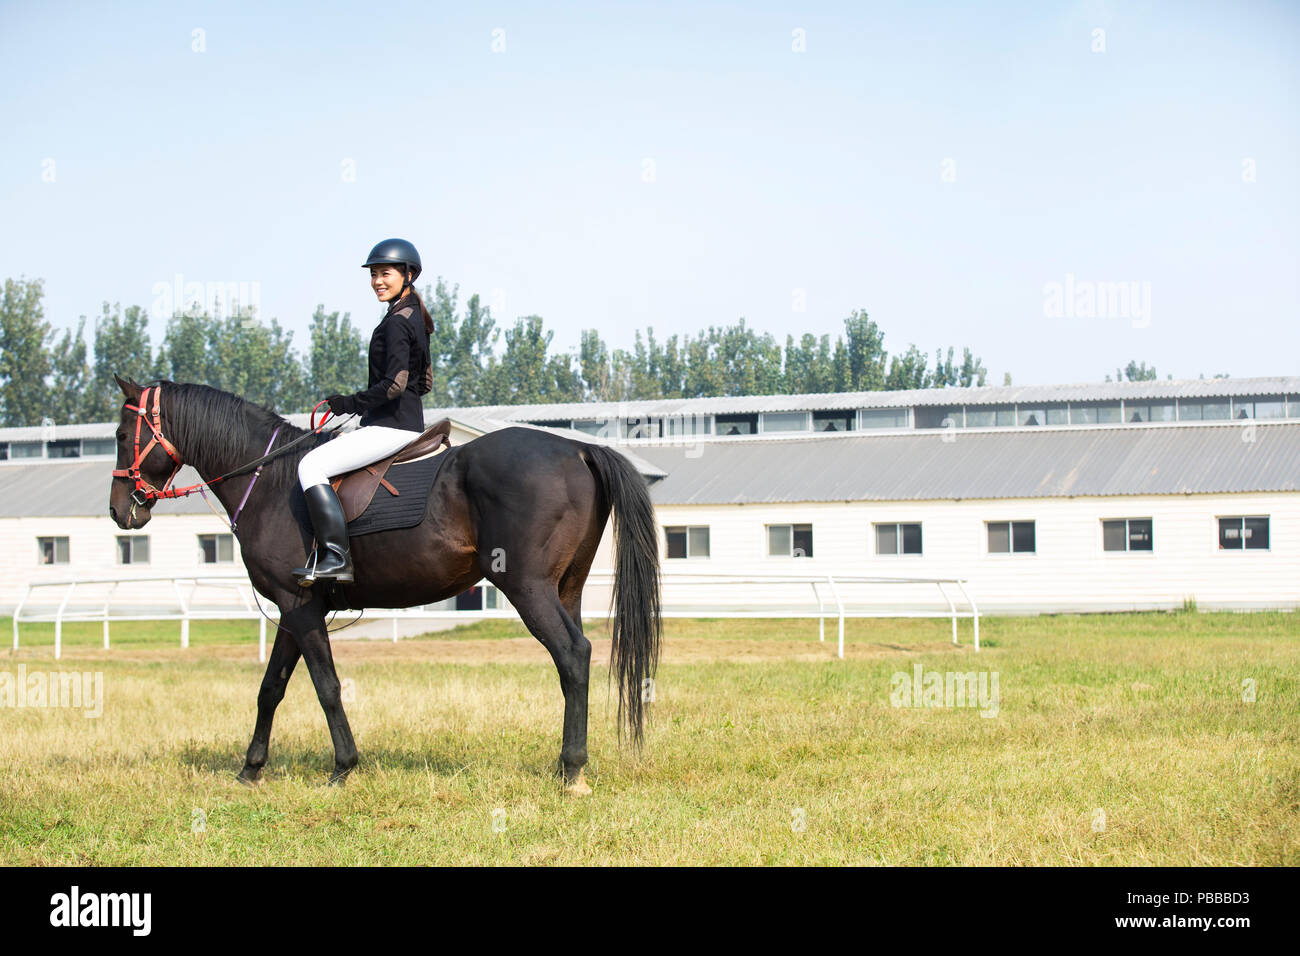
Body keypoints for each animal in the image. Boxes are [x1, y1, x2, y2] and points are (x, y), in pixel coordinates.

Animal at [106, 374, 661, 793]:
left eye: (121, 433)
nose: (120, 511)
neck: (270, 481)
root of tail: (578, 449)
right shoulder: (294, 609)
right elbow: (271, 688)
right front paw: (250, 770)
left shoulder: (299, 607)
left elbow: (326, 686)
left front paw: (342, 769)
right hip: (566, 589)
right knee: (577, 660)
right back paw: (570, 767)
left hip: (528, 588)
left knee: (572, 654)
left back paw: (571, 770)